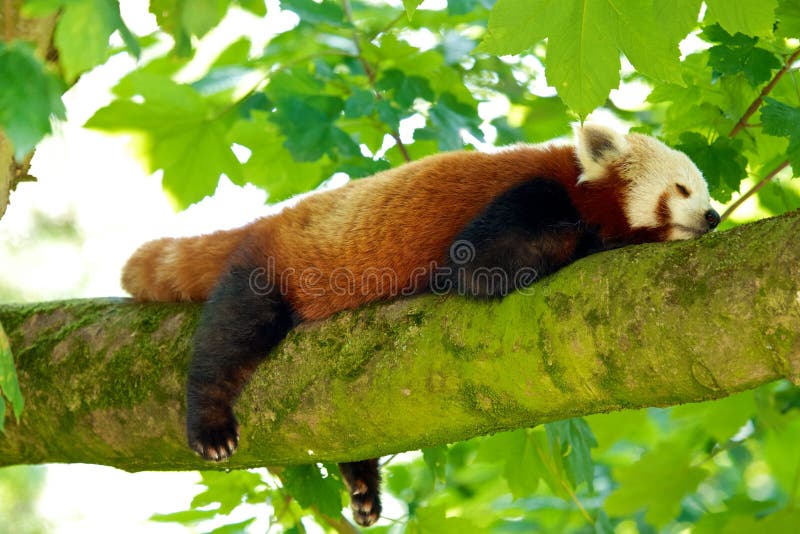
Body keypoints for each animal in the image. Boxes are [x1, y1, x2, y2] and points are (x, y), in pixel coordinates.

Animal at [122, 123, 719, 526]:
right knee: (231, 335)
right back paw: (209, 421)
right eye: (683, 190)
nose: (715, 215)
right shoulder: (526, 195)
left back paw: (362, 484)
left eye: (706, 191)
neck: (573, 183)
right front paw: (601, 240)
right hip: (270, 268)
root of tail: (271, 220)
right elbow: (479, 267)